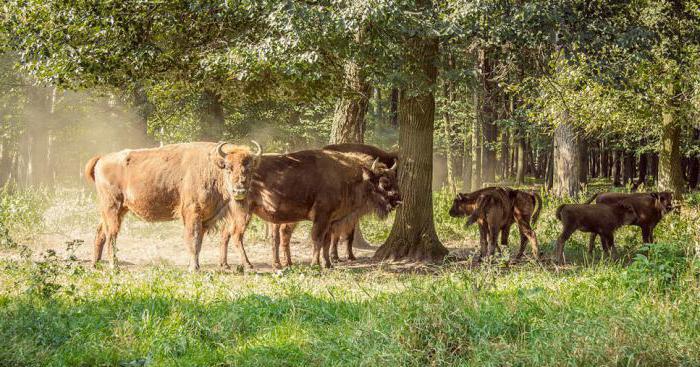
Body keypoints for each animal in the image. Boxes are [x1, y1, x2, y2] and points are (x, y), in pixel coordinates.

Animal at [84, 141, 262, 270]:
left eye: (249, 169)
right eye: (228, 168)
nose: (239, 190)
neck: (212, 167)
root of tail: (101, 159)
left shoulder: (205, 218)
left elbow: (198, 242)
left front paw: (194, 265)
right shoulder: (192, 212)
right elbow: (193, 239)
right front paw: (194, 268)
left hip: (118, 209)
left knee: (101, 232)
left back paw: (95, 264)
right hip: (113, 207)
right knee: (111, 234)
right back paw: (114, 266)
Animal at [220, 150, 400, 270]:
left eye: (395, 180)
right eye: (384, 182)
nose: (397, 200)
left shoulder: (330, 220)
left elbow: (326, 241)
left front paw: (328, 264)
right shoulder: (322, 217)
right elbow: (317, 239)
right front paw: (316, 264)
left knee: (227, 234)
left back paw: (226, 264)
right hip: (244, 213)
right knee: (237, 236)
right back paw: (248, 265)